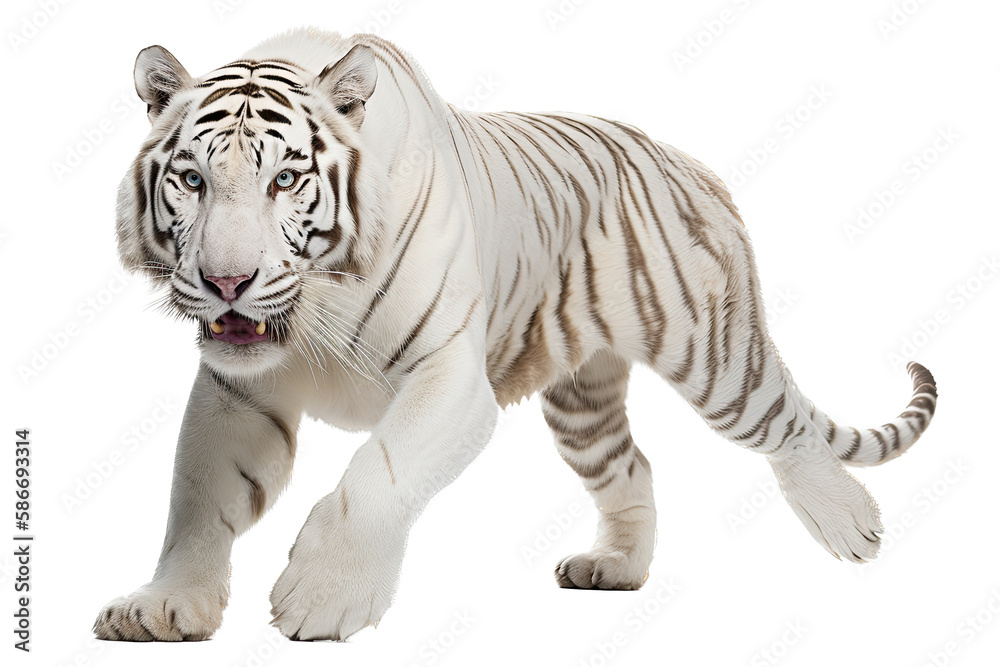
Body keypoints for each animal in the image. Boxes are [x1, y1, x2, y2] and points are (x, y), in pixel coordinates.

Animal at [94, 27, 938, 642]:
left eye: (285, 180)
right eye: (192, 179)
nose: (227, 281)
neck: (310, 307)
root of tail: (690, 163)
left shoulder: (450, 378)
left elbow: (378, 473)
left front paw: (324, 598)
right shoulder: (239, 392)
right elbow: (200, 499)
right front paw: (164, 604)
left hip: (712, 350)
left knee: (784, 422)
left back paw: (852, 523)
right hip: (582, 405)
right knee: (633, 466)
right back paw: (615, 567)